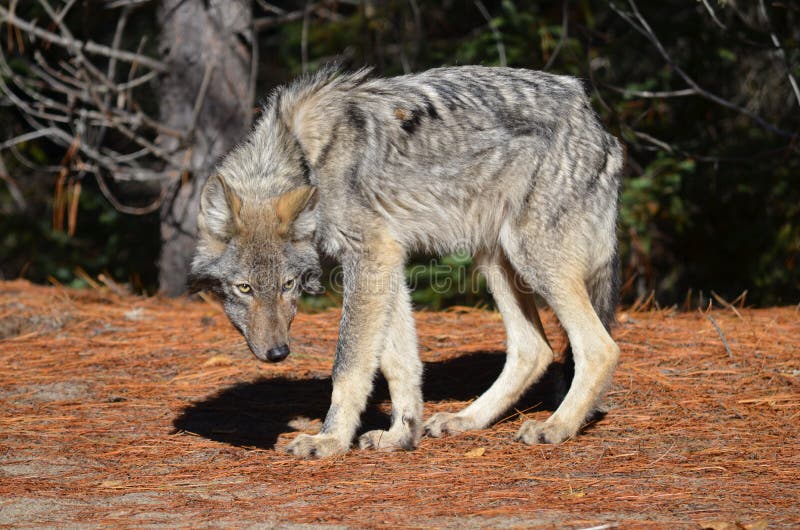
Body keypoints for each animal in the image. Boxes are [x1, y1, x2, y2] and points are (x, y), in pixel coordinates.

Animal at [189, 65, 623, 458]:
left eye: (288, 285)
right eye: (244, 288)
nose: (278, 354)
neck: (305, 160)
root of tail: (595, 121)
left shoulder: (370, 256)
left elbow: (348, 366)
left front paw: (329, 441)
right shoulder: (387, 262)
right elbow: (400, 365)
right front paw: (401, 435)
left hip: (531, 258)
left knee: (600, 347)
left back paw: (558, 426)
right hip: (494, 261)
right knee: (534, 350)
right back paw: (464, 419)